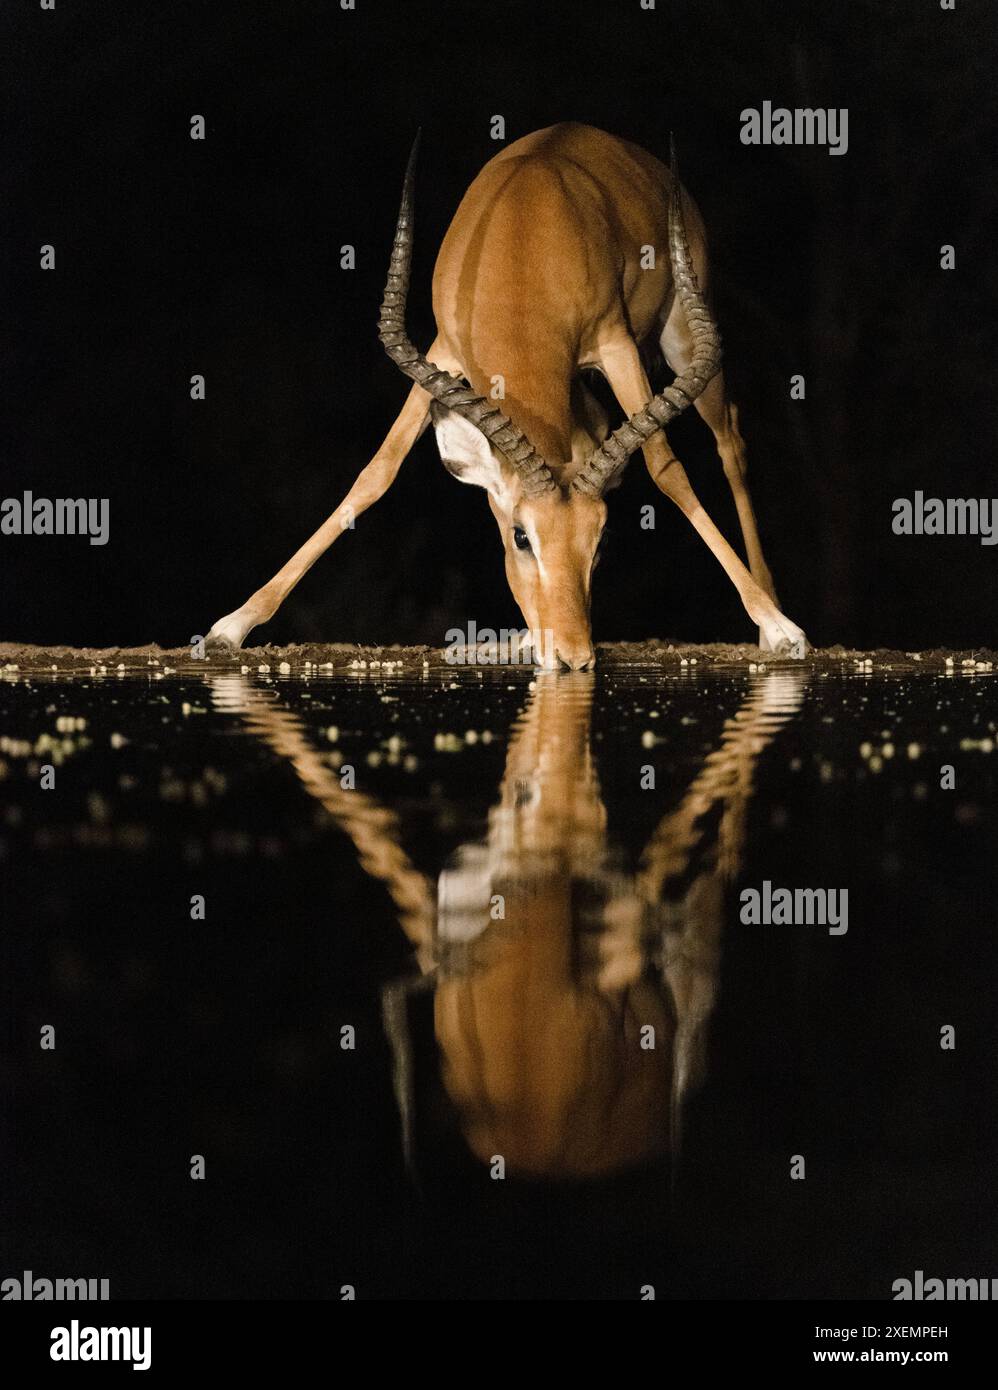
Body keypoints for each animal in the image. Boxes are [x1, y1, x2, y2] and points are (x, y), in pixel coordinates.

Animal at [206, 123, 808, 669]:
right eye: (521, 536)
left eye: (600, 540)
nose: (573, 657)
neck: (526, 241)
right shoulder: (442, 351)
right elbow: (377, 472)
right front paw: (230, 626)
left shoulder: (615, 344)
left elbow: (667, 468)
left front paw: (782, 629)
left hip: (682, 338)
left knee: (730, 440)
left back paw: (771, 612)